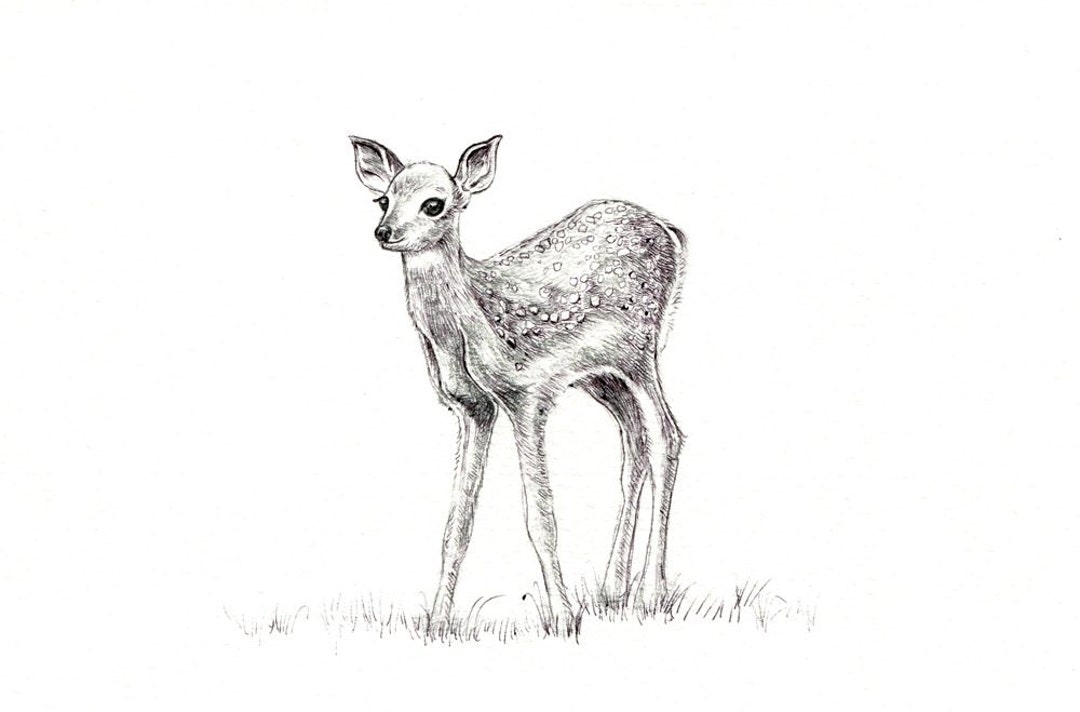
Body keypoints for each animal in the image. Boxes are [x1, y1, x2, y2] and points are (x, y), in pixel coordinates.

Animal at [349, 135, 686, 634]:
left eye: (434, 204)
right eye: (383, 200)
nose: (385, 232)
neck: (466, 329)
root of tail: (669, 230)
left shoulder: (527, 396)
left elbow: (541, 519)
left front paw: (564, 620)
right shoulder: (473, 408)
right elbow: (458, 523)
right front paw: (437, 624)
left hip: (641, 352)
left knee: (668, 436)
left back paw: (650, 594)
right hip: (604, 377)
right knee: (636, 444)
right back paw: (612, 590)